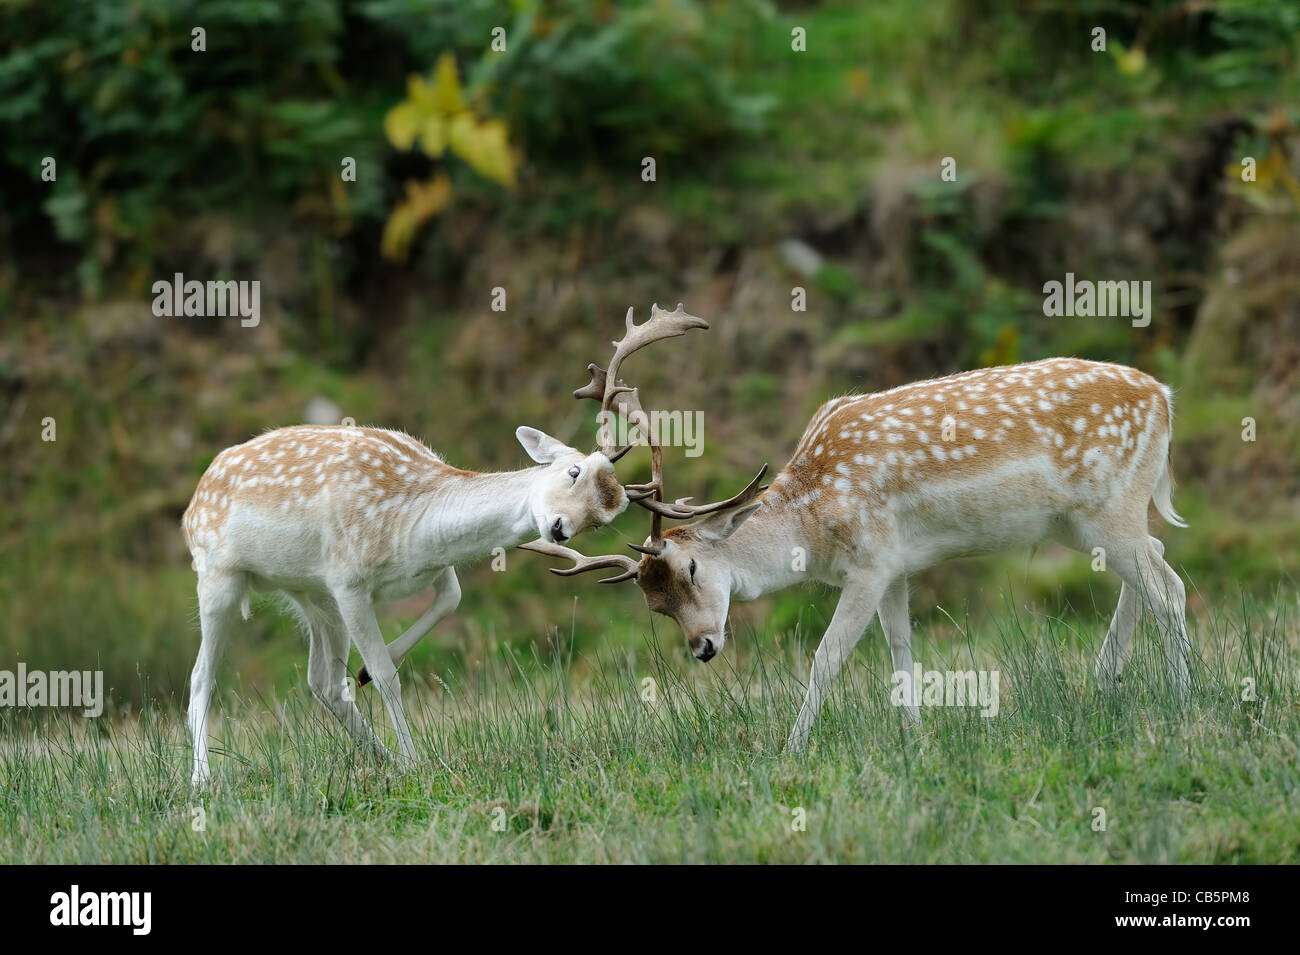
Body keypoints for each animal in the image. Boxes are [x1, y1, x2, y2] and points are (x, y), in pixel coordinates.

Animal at [180, 305, 713, 786]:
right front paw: (413, 759)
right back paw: (202, 780)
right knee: (201, 676)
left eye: (602, 521)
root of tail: (192, 502)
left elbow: (451, 599)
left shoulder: (423, 570)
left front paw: (374, 684)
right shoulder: (348, 580)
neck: (413, 527)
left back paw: (376, 756)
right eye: (573, 471)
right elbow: (389, 676)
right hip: (219, 578)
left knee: (322, 682)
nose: (560, 527)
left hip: (310, 595)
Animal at [523, 340, 1193, 753]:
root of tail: (1165, 397)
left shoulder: (870, 563)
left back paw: (1185, 698)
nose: (704, 647)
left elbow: (828, 657)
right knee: (1160, 569)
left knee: (1169, 588)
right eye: (653, 604)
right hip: (1084, 523)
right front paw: (916, 737)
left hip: (1111, 506)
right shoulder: (897, 567)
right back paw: (1106, 684)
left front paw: (791, 749)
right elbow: (901, 647)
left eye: (690, 567)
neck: (811, 528)